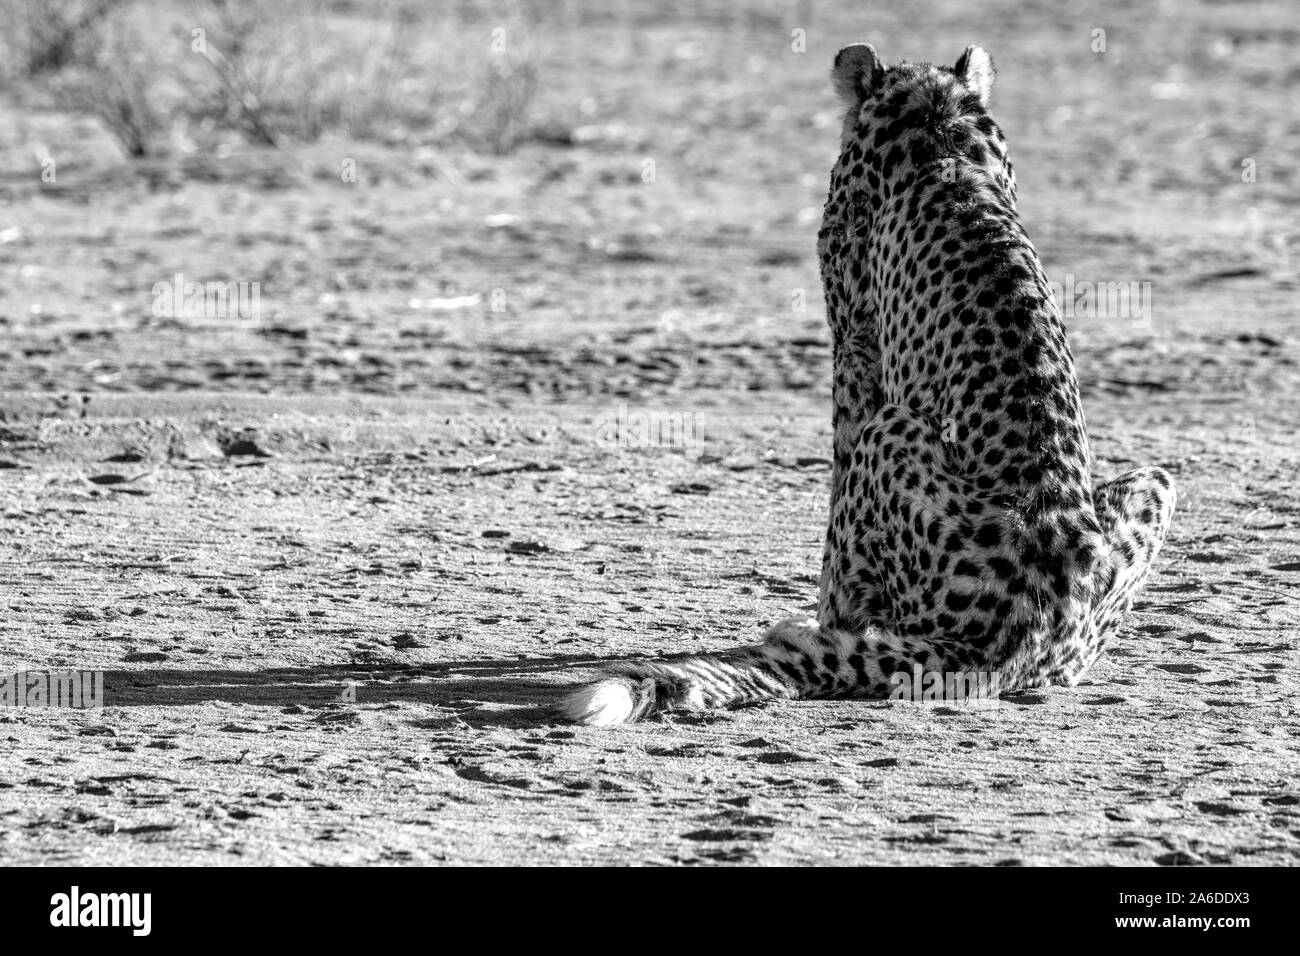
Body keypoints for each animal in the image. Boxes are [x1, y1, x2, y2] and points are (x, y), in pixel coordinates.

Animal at [561, 42, 1176, 726]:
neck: (939, 118)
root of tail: (1021, 642)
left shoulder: (856, 347)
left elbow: (836, 485)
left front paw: (824, 619)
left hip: (896, 426)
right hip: (1152, 488)